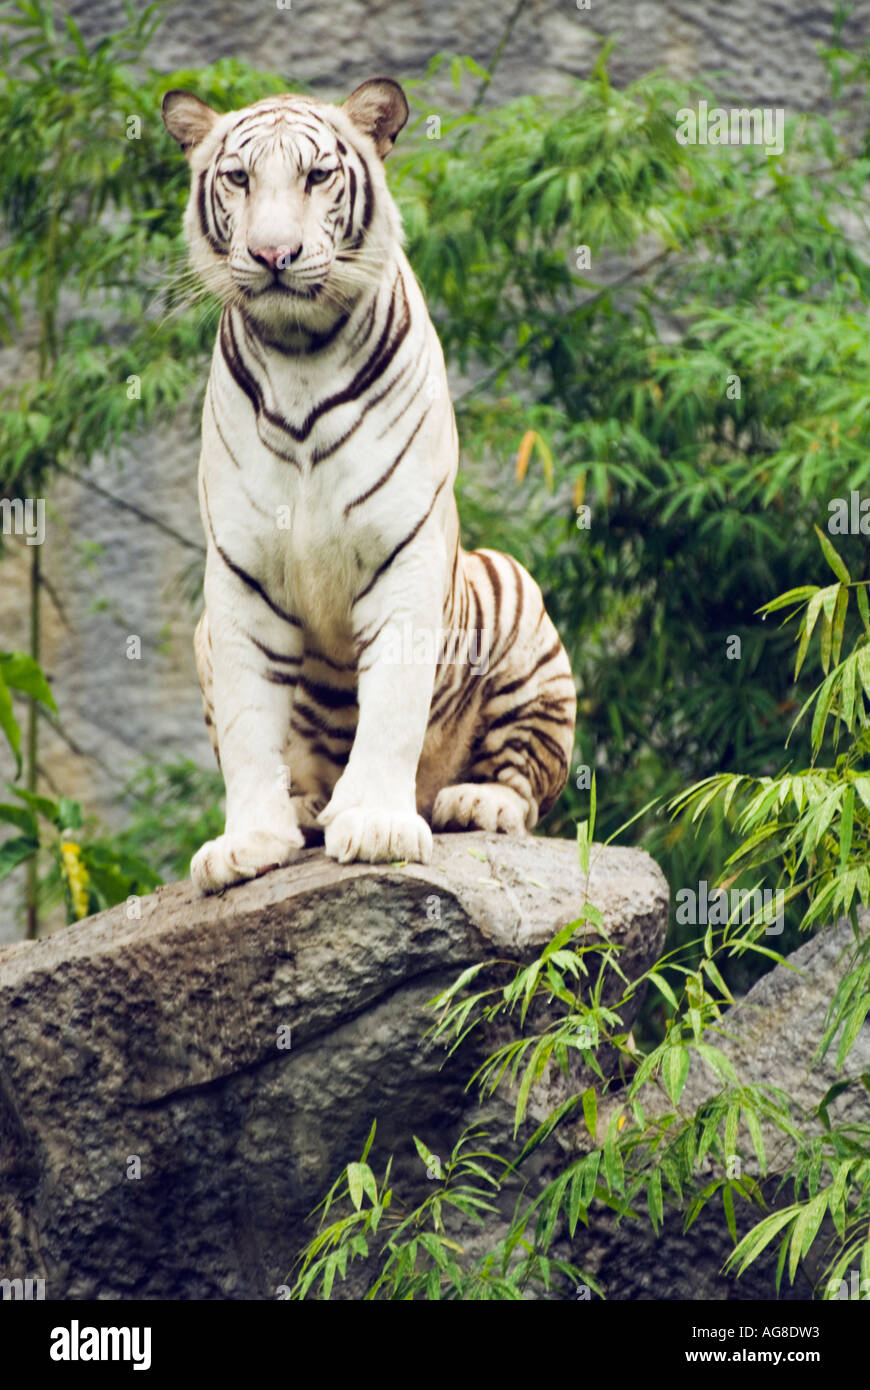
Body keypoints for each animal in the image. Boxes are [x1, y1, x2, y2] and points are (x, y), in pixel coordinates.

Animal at [161, 77, 577, 894]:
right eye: (239, 178)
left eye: (318, 176)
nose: (274, 254)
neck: (299, 350)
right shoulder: (240, 573)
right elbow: (250, 724)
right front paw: (248, 842)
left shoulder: (406, 549)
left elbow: (391, 707)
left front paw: (380, 826)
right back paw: (306, 809)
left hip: (518, 605)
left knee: (526, 787)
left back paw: (471, 802)